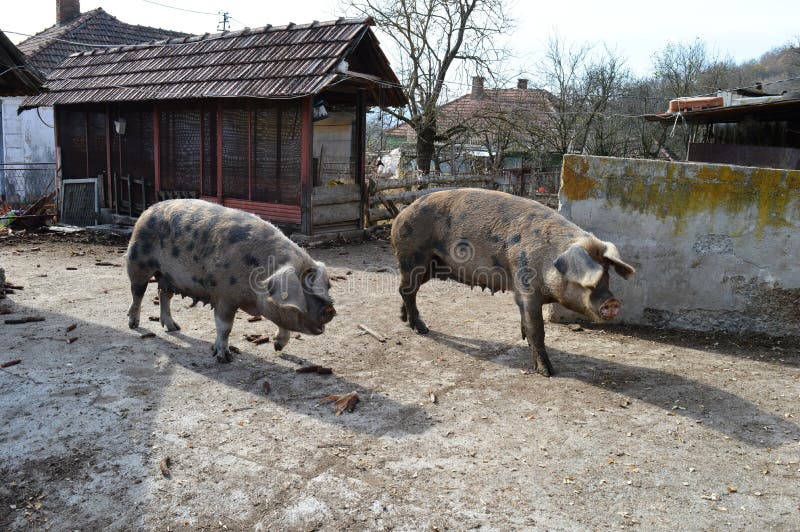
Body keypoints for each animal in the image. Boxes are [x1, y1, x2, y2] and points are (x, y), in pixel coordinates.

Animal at [125, 199, 336, 362]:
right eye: (302, 290)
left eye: (325, 286)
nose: (330, 309)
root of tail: (148, 210)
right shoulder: (224, 295)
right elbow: (225, 327)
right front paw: (224, 358)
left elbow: (283, 323)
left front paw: (277, 348)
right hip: (138, 261)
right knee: (137, 293)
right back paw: (133, 325)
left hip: (169, 277)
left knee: (163, 294)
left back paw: (174, 328)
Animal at [391, 188, 635, 376]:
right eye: (586, 282)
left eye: (607, 275)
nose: (612, 302)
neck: (547, 260)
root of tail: (402, 213)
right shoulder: (527, 287)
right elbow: (537, 329)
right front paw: (548, 372)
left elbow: (526, 322)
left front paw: (524, 337)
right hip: (412, 257)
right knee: (407, 290)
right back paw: (422, 329)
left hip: (429, 265)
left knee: (407, 291)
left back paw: (406, 320)